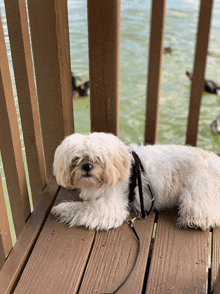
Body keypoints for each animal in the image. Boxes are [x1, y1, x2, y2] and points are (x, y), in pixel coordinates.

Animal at [51, 132, 220, 231]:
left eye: (98, 158)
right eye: (76, 159)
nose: (87, 166)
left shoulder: (109, 207)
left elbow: (81, 208)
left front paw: (61, 208)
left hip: (197, 190)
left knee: (206, 214)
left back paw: (193, 221)